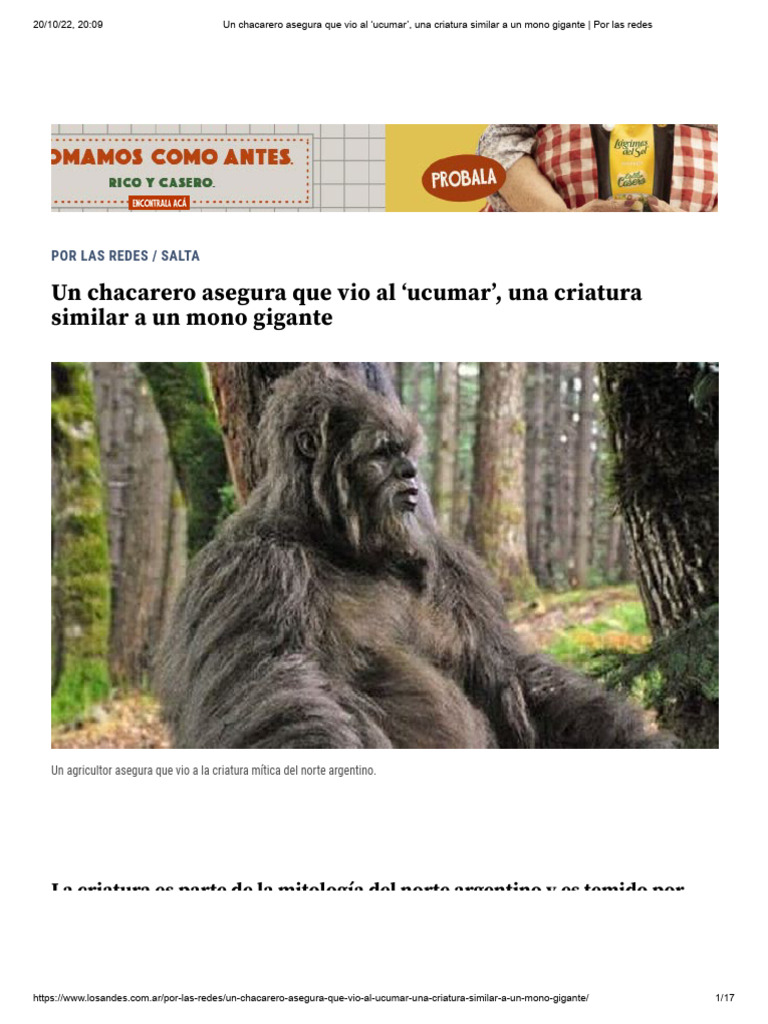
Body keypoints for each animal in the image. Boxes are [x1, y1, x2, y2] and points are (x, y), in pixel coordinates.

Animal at [157, 364, 676, 749]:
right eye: (383, 452)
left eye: (404, 450)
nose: (409, 474)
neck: (333, 539)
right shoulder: (251, 572)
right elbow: (273, 688)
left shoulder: (457, 569)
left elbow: (511, 671)